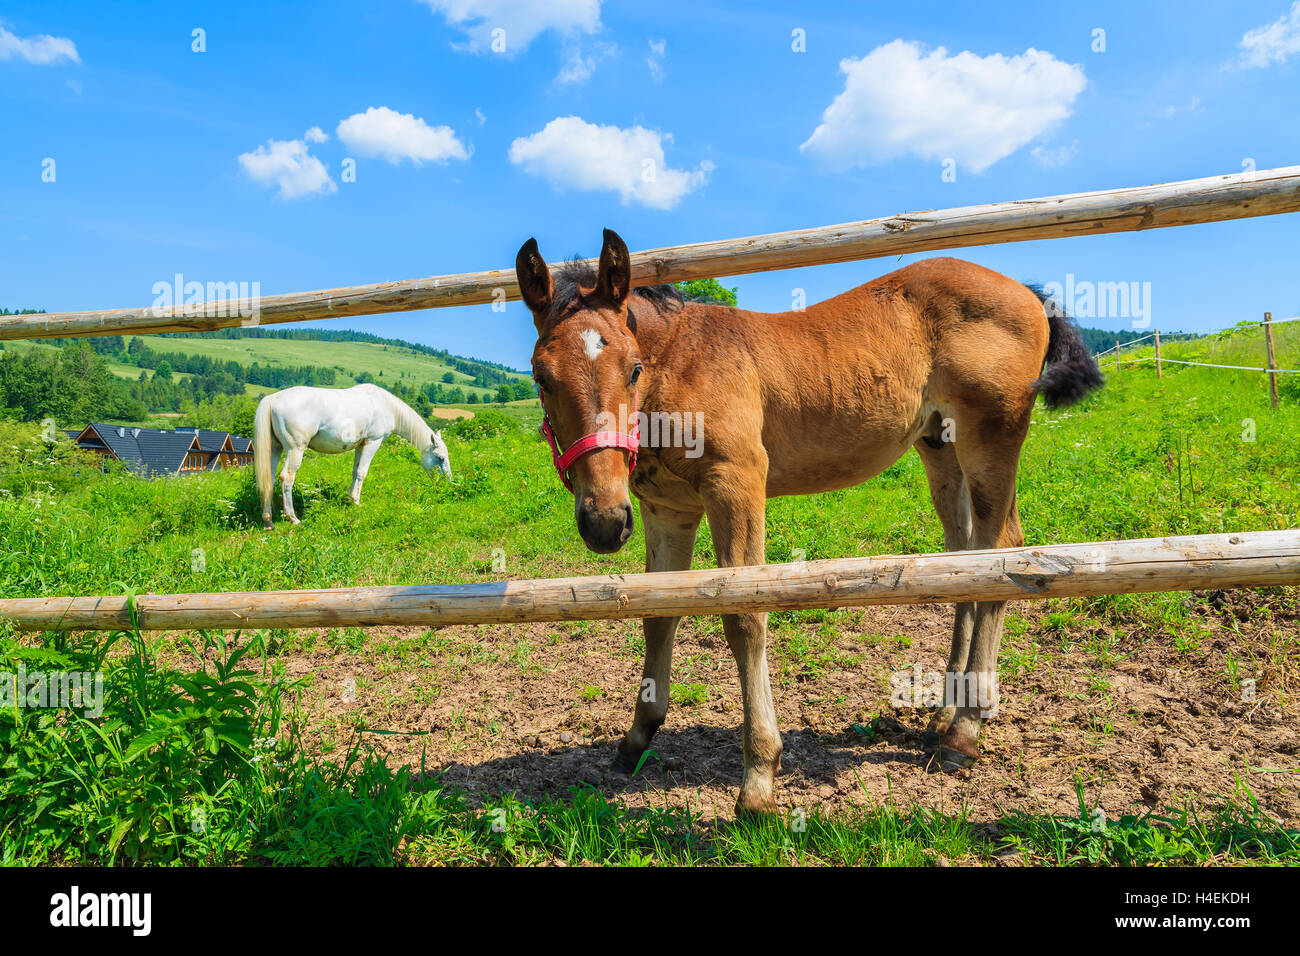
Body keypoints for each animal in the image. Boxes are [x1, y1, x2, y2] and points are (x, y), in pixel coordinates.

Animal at [254, 382, 451, 529]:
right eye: (440, 458)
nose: (446, 482)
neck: (385, 405)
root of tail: (272, 399)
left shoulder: (360, 445)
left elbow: (355, 472)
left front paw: (350, 500)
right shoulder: (373, 442)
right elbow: (362, 473)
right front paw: (356, 502)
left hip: (276, 448)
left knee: (269, 479)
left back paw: (268, 520)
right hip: (295, 449)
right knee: (286, 478)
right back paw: (293, 518)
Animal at [517, 228, 1103, 815]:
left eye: (634, 369)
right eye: (541, 378)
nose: (604, 521)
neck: (679, 366)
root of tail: (1030, 294)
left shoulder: (736, 484)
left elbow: (744, 618)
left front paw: (758, 778)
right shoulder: (667, 509)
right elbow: (658, 616)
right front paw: (636, 739)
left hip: (992, 438)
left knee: (1002, 550)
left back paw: (965, 730)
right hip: (941, 446)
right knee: (965, 556)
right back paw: (944, 713)